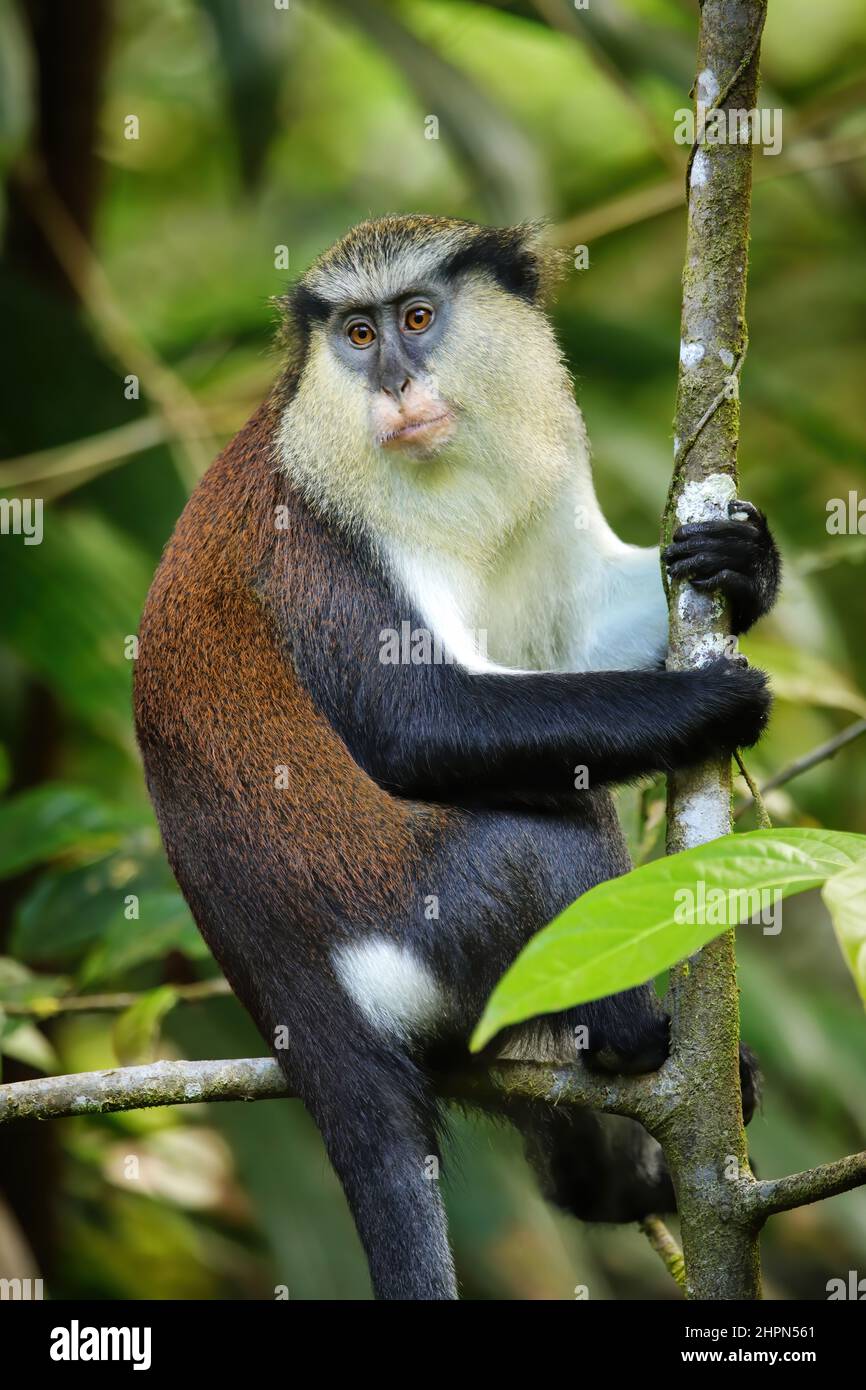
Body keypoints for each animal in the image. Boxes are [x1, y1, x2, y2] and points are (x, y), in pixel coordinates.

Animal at [134, 216, 779, 1301]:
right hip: (436, 927)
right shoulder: (319, 543)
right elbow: (419, 726)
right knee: (548, 826)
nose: (394, 382)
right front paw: (707, 705)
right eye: (356, 334)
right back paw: (632, 1045)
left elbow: (573, 633)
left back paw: (612, 1174)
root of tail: (302, 1009)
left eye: (416, 318)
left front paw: (749, 567)